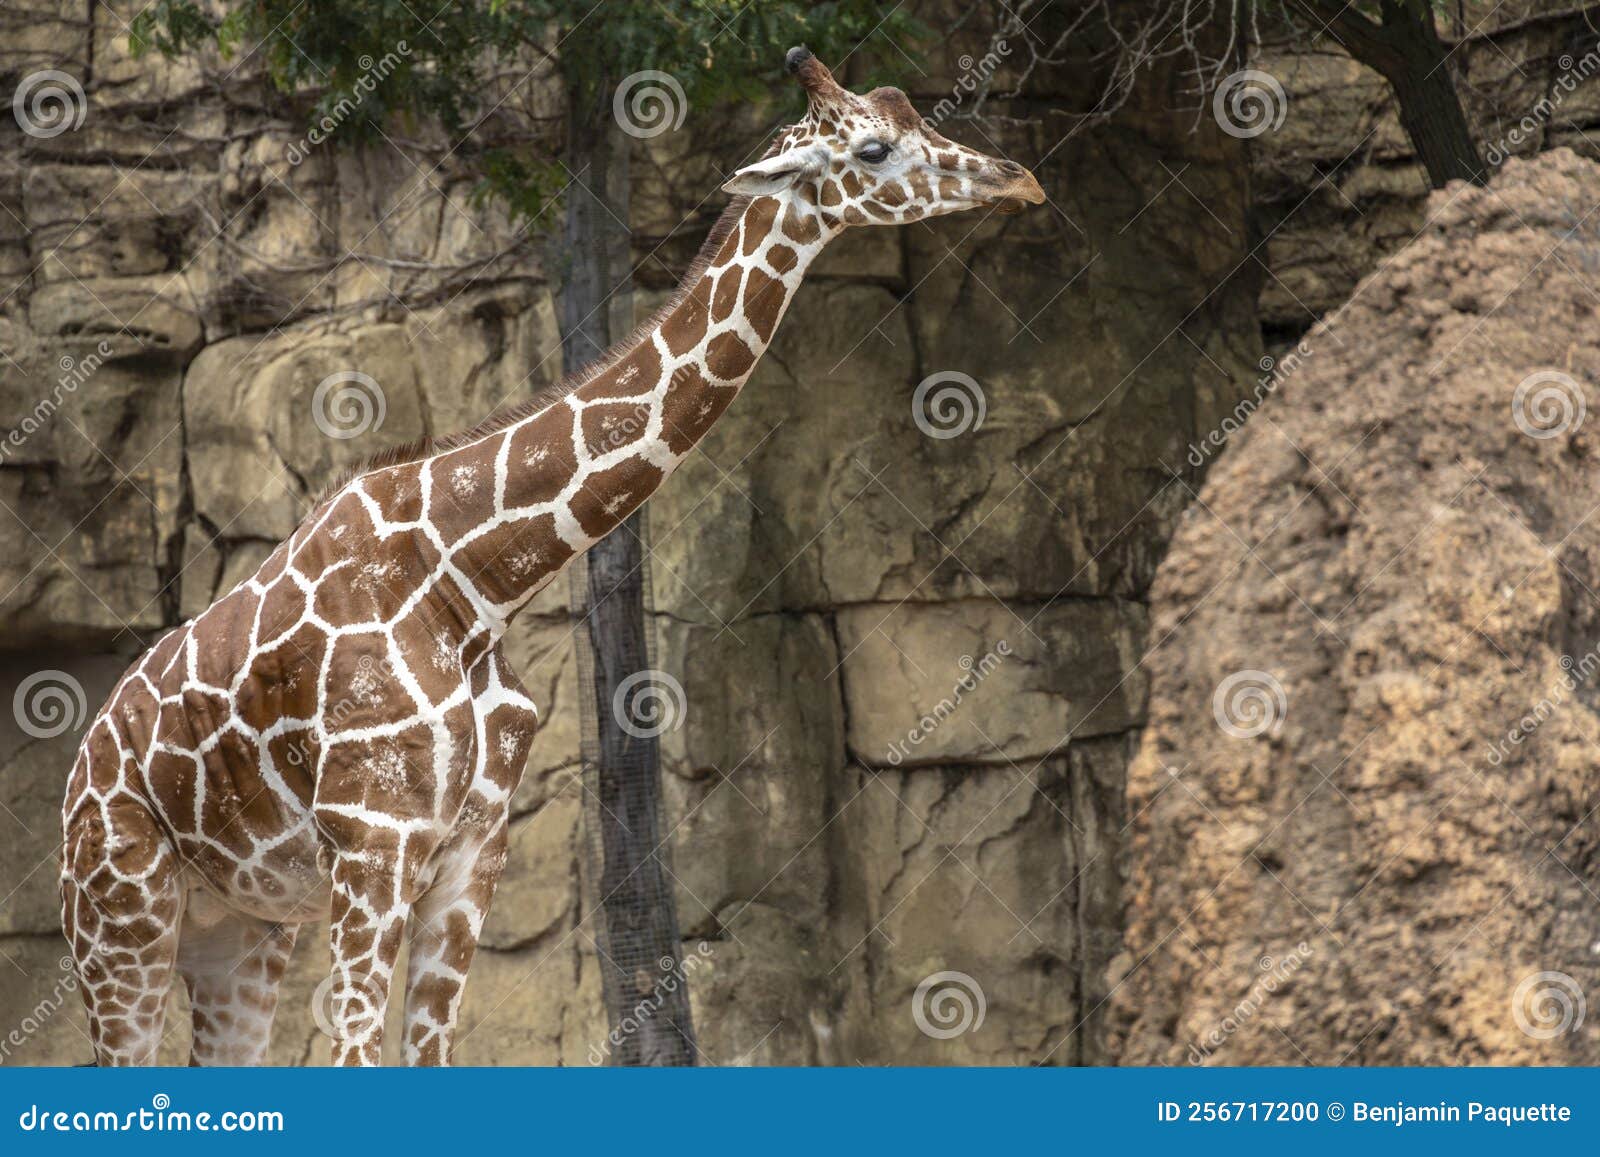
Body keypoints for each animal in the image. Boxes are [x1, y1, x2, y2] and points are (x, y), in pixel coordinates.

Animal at [58, 46, 1045, 1067]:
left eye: (909, 112)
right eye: (874, 146)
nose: (1022, 179)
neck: (472, 580)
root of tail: (80, 771)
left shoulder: (472, 849)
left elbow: (429, 1053)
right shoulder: (371, 841)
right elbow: (358, 1051)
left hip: (243, 928)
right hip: (120, 910)